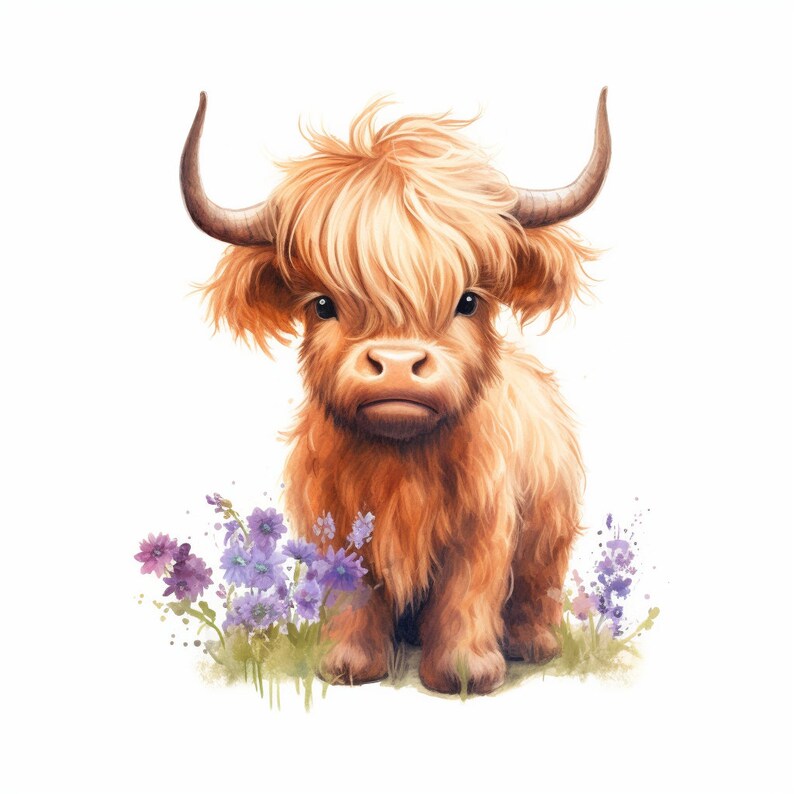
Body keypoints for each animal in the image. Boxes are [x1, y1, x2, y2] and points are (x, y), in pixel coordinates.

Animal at [180, 89, 611, 694]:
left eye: (468, 300)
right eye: (323, 304)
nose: (400, 366)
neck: (400, 467)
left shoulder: (484, 525)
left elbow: (468, 590)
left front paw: (463, 671)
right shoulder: (333, 522)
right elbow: (349, 591)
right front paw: (348, 664)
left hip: (549, 525)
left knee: (535, 583)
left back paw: (534, 644)